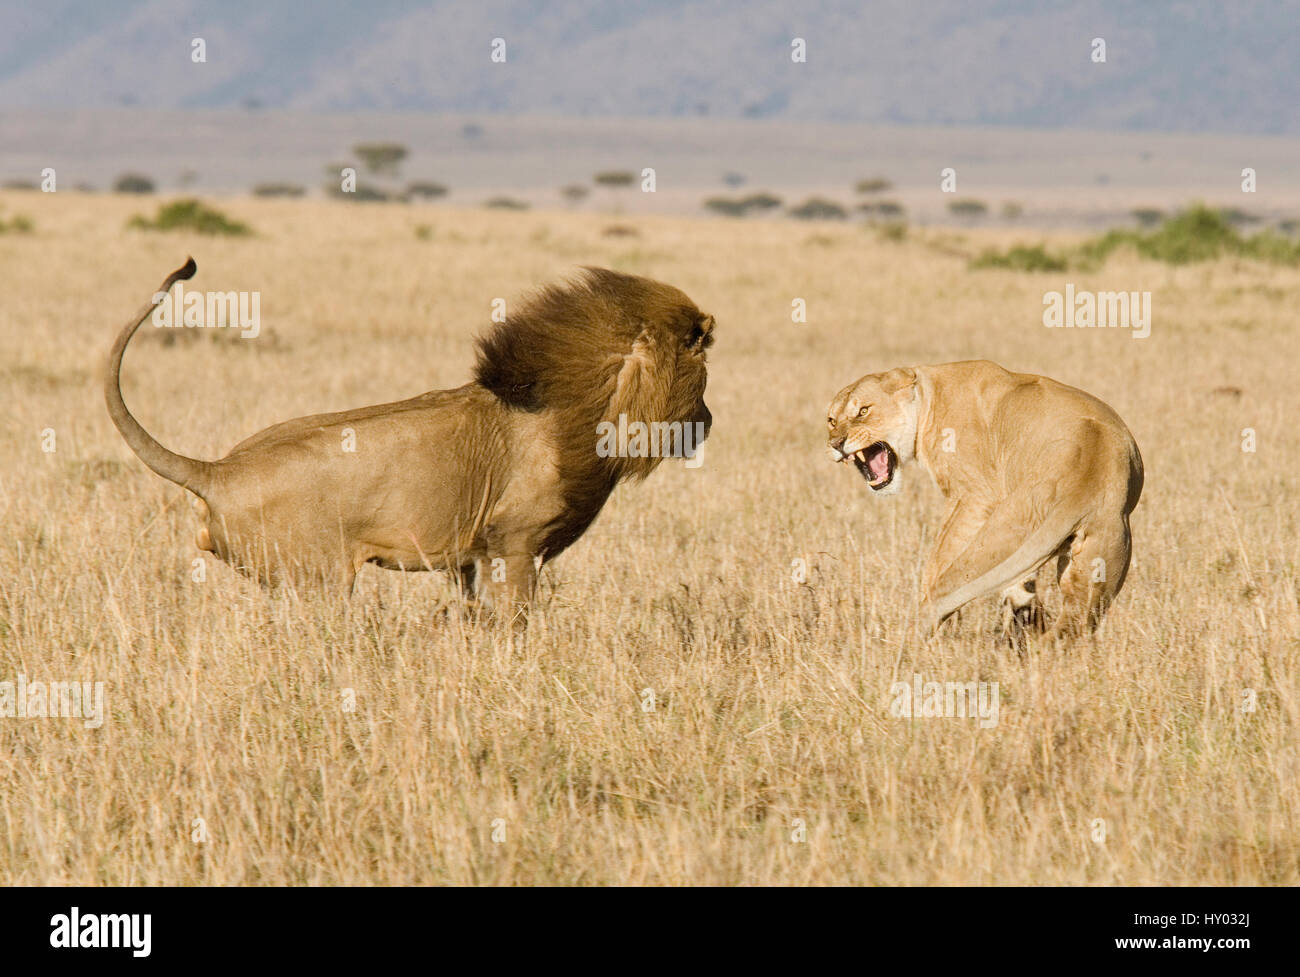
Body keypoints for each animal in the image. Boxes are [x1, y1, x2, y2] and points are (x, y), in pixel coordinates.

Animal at [106, 258, 714, 614]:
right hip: (319, 583)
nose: (708, 421)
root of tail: (217, 471)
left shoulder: (473, 554)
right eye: (704, 378)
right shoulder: (514, 542)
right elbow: (515, 621)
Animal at [826, 360, 1143, 642]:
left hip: (1000, 536)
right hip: (1095, 565)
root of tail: (1086, 479)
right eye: (831, 420)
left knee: (941, 591)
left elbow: (939, 555)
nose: (836, 444)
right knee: (1069, 629)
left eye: (863, 411)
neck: (928, 395)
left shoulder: (974, 495)